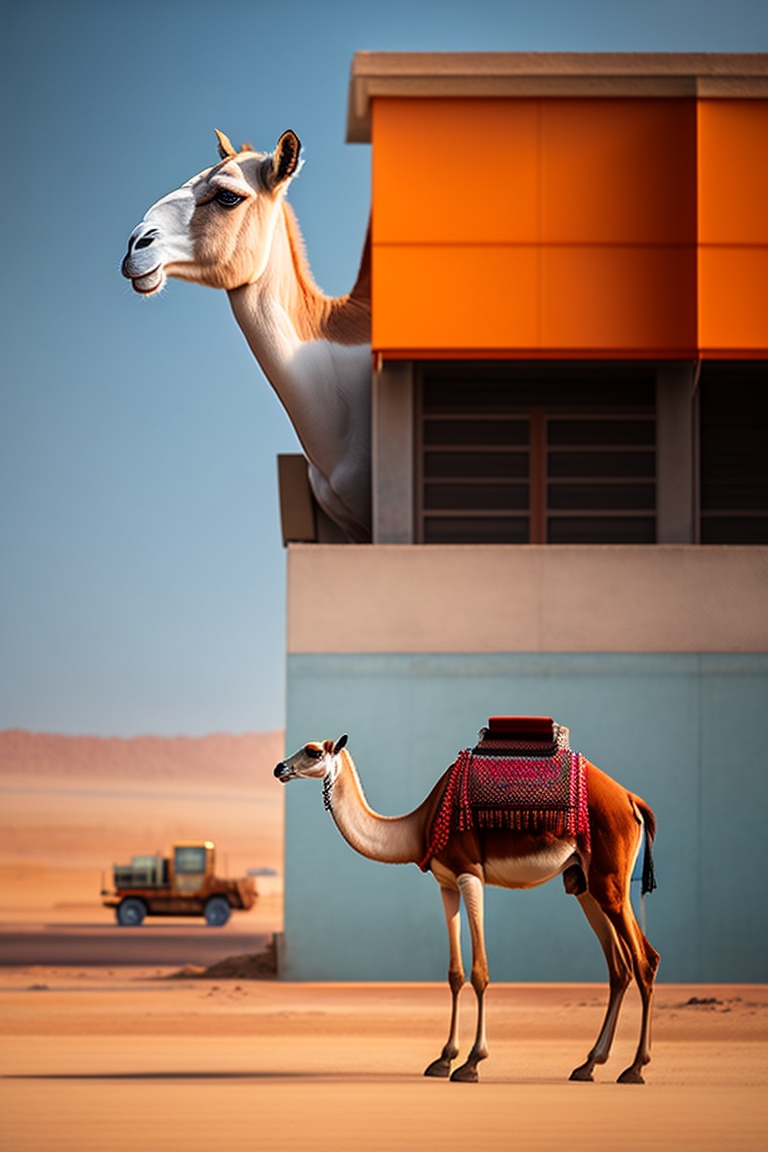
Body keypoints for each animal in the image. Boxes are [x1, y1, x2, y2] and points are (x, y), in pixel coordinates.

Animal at [274, 732, 660, 1084]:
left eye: (312, 751)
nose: (280, 768)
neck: (418, 827)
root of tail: (633, 801)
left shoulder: (469, 874)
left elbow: (480, 972)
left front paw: (472, 1063)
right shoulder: (446, 884)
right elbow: (455, 973)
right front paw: (443, 1059)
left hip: (610, 882)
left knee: (645, 960)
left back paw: (634, 1069)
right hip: (584, 886)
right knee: (619, 968)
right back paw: (587, 1065)